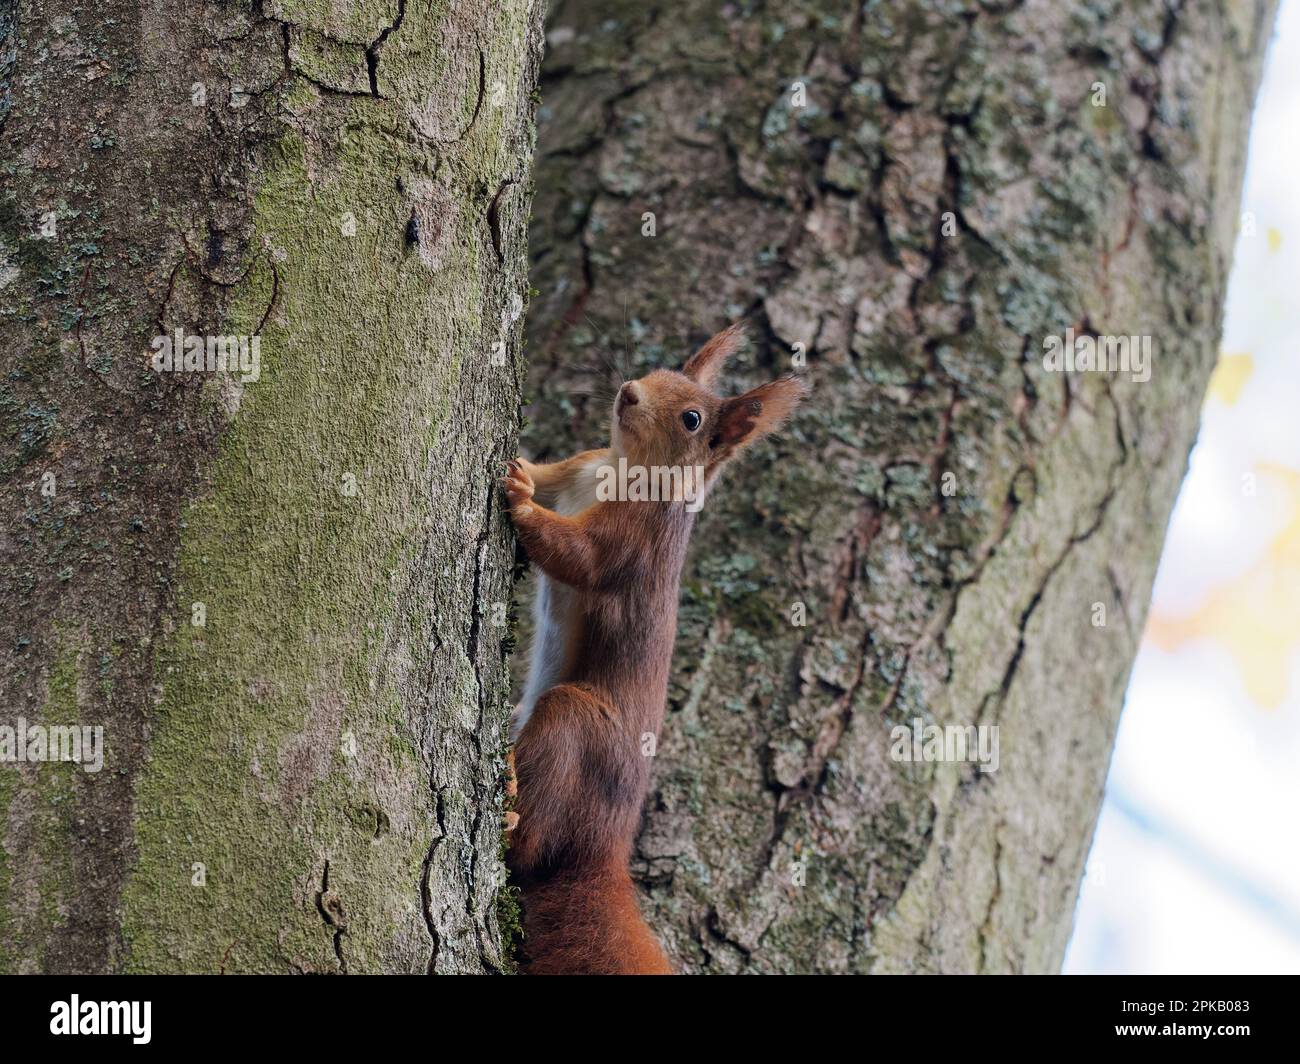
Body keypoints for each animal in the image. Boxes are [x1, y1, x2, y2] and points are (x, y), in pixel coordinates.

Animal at [499, 323, 806, 975]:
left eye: (692, 419)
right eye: (662, 370)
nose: (629, 391)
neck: (622, 466)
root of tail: (608, 847)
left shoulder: (630, 543)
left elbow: (576, 556)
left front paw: (517, 498)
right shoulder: (580, 465)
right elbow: (548, 473)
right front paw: (522, 469)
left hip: (579, 728)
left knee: (534, 842)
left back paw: (510, 809)